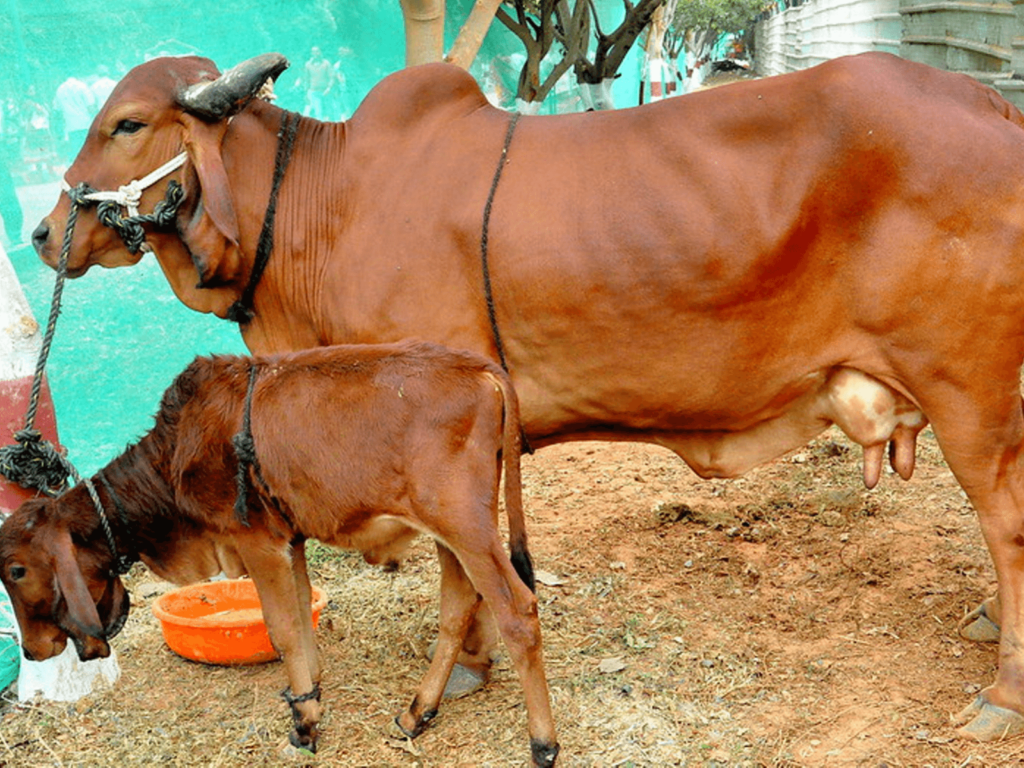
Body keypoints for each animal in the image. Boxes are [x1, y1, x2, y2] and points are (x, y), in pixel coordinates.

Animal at [0, 340, 559, 765]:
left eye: (17, 569)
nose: (32, 652)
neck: (172, 459)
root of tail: (480, 368)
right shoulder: (290, 541)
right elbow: (302, 618)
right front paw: (308, 695)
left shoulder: (256, 542)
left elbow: (283, 627)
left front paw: (305, 725)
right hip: (453, 535)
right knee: (457, 610)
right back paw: (416, 712)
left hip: (466, 526)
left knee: (517, 611)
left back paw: (542, 742)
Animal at [27, 50, 1024, 740]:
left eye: (126, 123)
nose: (42, 232)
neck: (325, 205)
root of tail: (989, 101)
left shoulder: (433, 442)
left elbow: (460, 577)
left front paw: (460, 676)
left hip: (970, 398)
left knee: (1005, 525)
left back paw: (1003, 693)